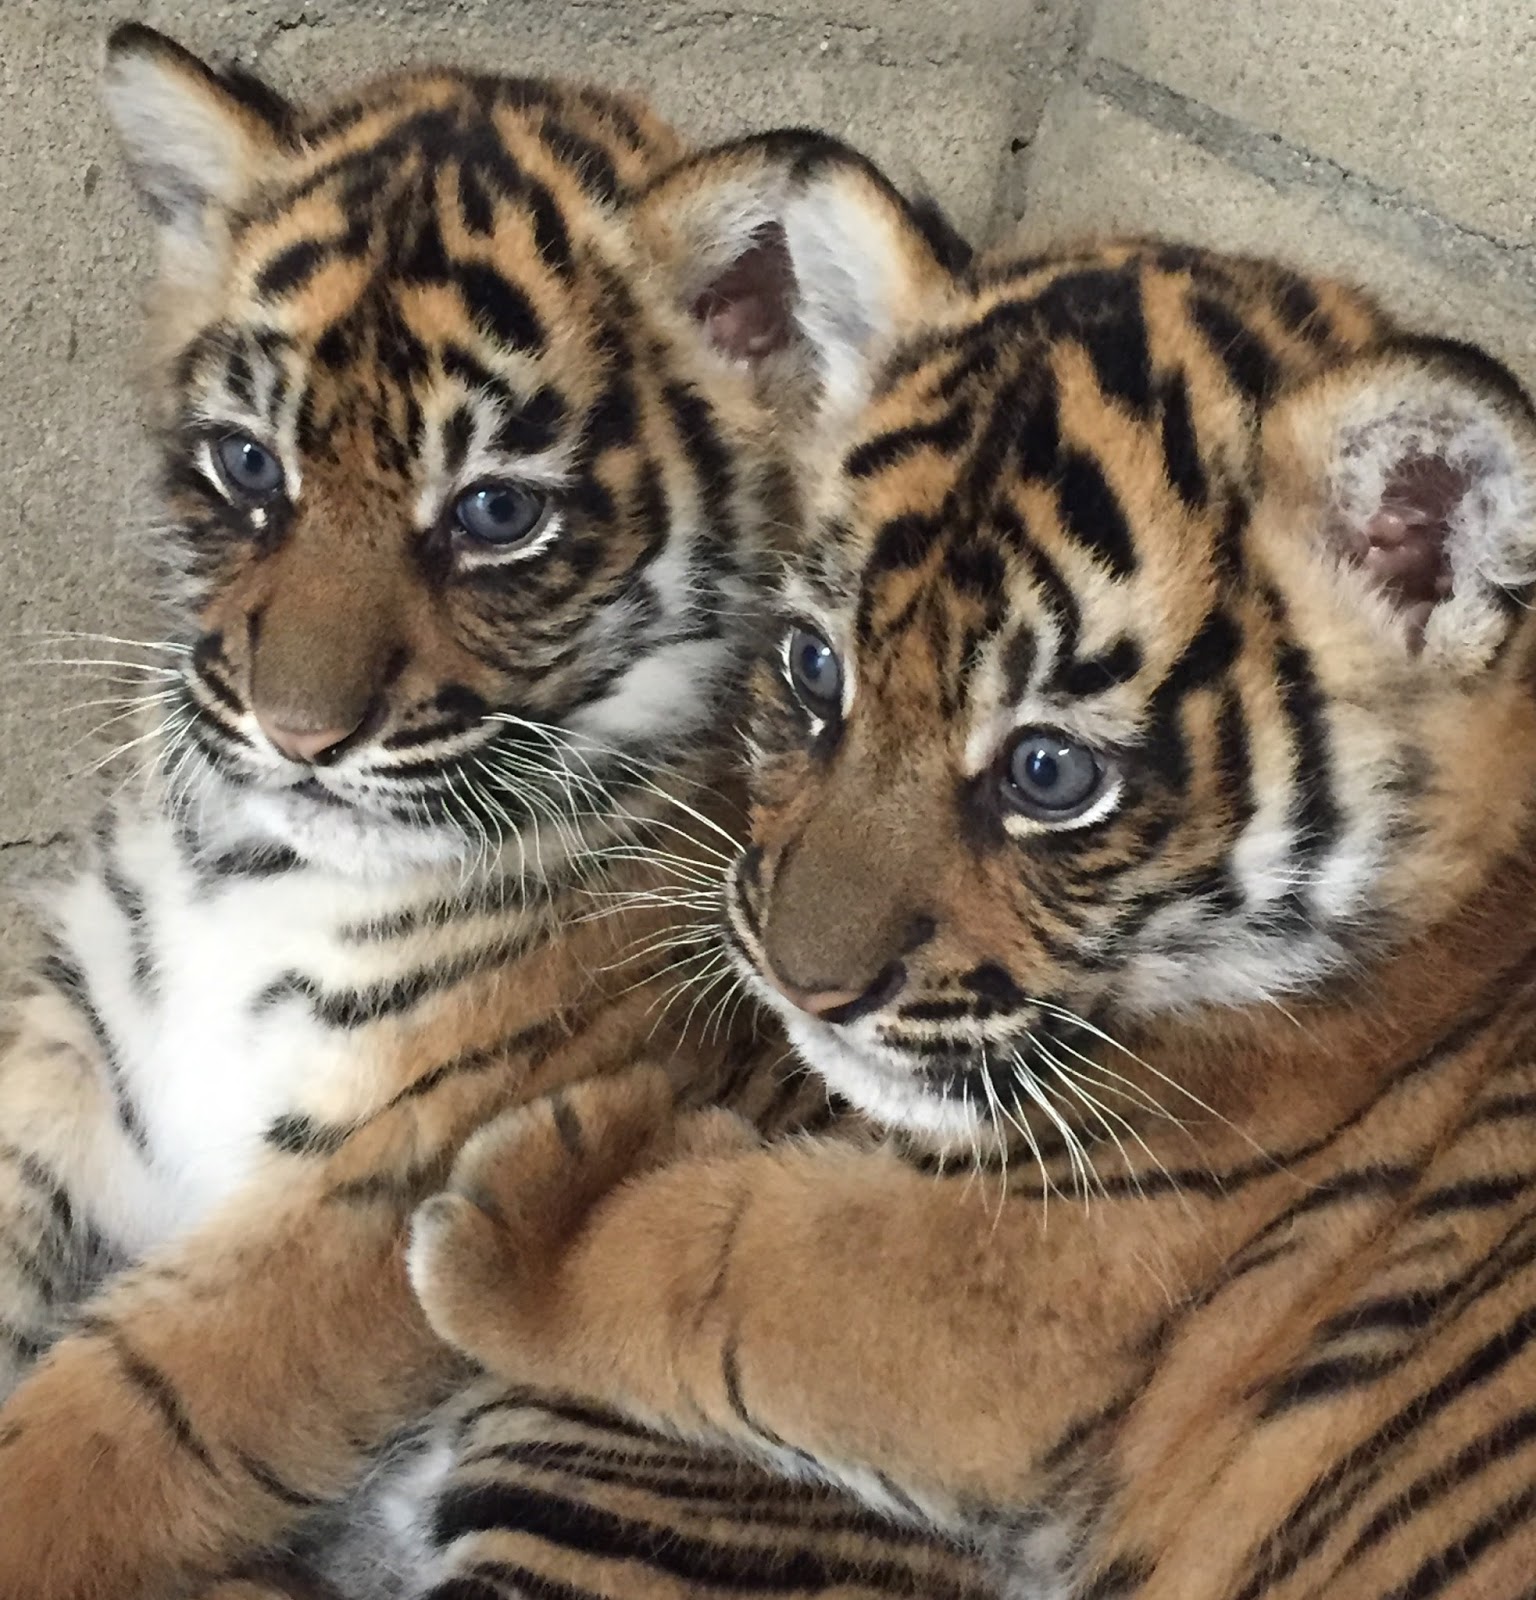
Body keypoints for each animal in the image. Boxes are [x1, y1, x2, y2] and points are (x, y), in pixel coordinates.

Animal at [0, 23, 991, 1600]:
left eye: (493, 515)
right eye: (249, 466)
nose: (298, 733)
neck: (258, 868)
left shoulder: (373, 1196)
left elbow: (108, 1433)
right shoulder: (78, 1062)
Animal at [409, 230, 1536, 1600]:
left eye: (1048, 772)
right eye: (815, 668)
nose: (802, 986)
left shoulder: (1054, 1279)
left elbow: (755, 1273)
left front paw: (530, 1213)